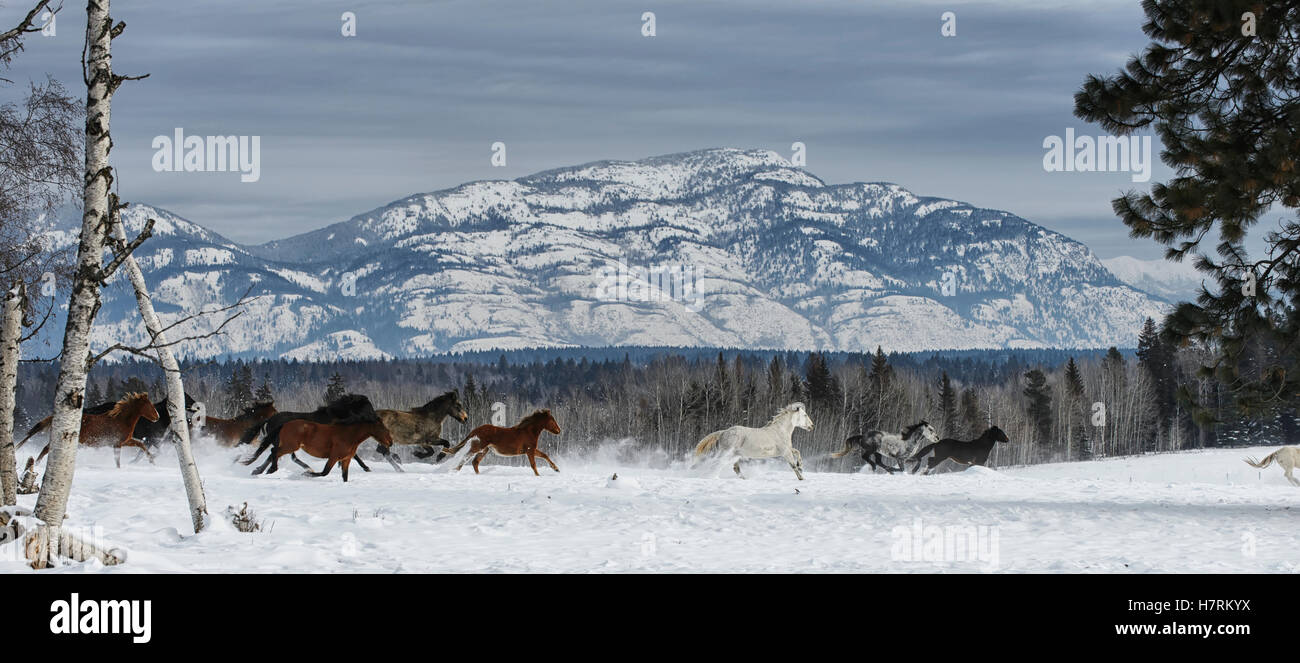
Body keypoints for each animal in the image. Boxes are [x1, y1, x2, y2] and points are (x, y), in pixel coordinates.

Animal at [20, 392, 160, 468]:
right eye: (149, 405)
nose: (157, 416)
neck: (121, 419)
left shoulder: (125, 441)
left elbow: (141, 445)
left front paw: (152, 462)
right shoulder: (117, 443)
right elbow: (117, 460)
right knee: (45, 449)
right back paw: (36, 464)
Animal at [239, 394, 382, 472]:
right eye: (368, 406)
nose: (376, 418)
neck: (335, 417)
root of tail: (269, 419)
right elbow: (355, 455)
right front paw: (366, 467)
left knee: (276, 455)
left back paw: (258, 470)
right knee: (277, 455)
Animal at [245, 419, 393, 482]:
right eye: (383, 429)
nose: (390, 443)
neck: (349, 435)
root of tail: (285, 424)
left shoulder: (346, 460)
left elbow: (345, 476)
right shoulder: (334, 457)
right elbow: (324, 472)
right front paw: (306, 474)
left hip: (289, 446)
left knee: (273, 452)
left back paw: (260, 470)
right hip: (290, 446)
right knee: (274, 452)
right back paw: (271, 469)